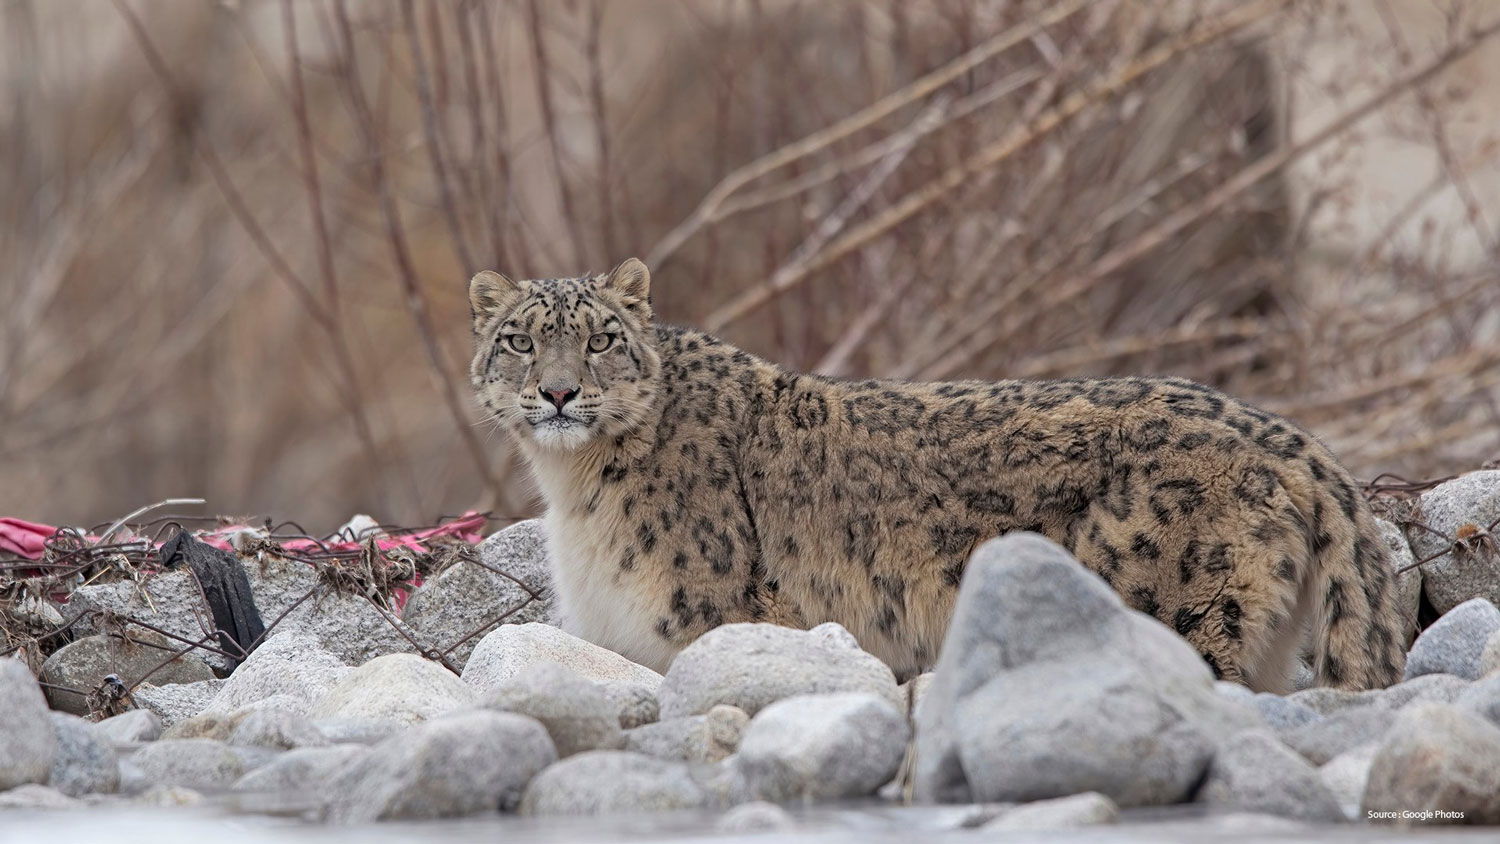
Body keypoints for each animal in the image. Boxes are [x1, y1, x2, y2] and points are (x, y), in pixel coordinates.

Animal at [467, 258, 1406, 692]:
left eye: (600, 338)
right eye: (518, 339)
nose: (559, 391)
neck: (574, 490)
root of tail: (1288, 435)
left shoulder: (713, 622)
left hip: (1178, 609)